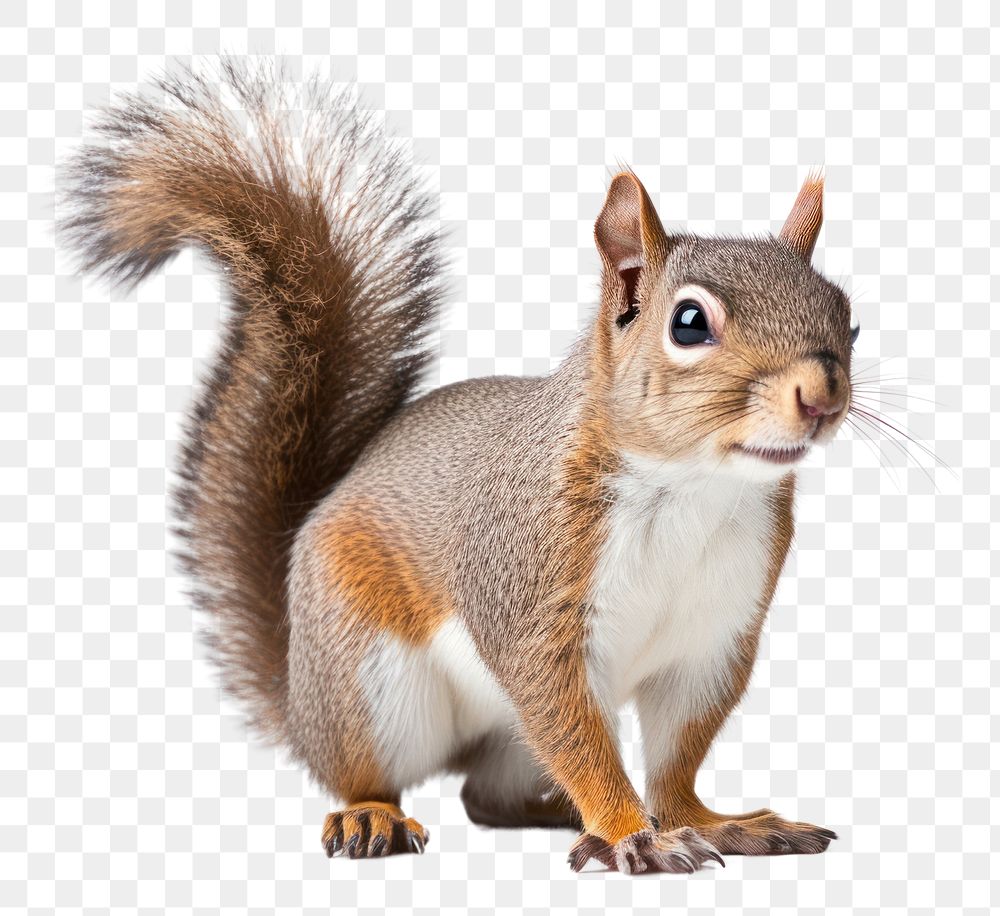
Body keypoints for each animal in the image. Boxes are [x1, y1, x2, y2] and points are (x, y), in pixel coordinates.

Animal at [64, 62, 851, 874]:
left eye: (846, 315)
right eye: (689, 323)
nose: (822, 396)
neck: (692, 487)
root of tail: (299, 696)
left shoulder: (713, 639)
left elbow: (678, 756)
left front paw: (709, 821)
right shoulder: (529, 599)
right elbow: (578, 735)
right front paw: (632, 832)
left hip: (503, 741)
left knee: (487, 797)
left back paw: (557, 815)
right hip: (370, 681)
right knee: (367, 771)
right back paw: (376, 816)